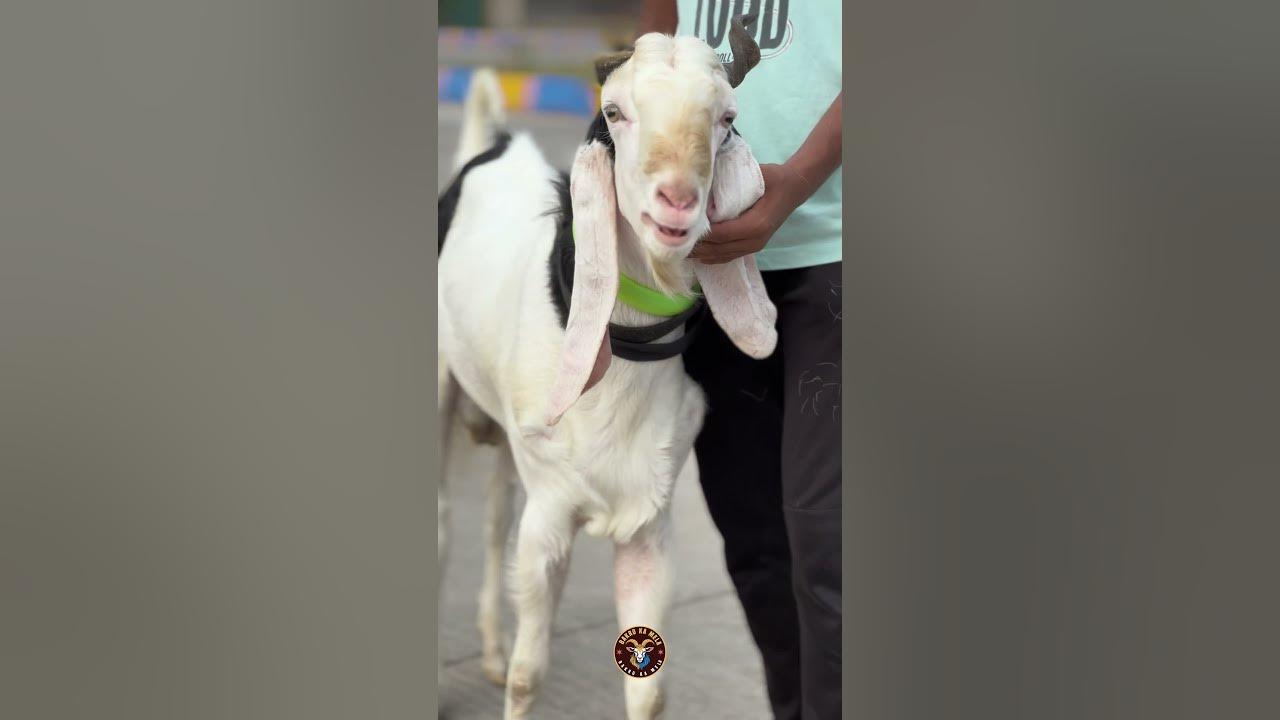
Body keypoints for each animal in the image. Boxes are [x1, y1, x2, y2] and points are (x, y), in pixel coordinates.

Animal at [438, 22, 776, 720]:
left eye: (726, 119)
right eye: (615, 113)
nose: (677, 201)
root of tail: (493, 147)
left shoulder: (651, 524)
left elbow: (648, 690)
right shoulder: (549, 512)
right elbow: (529, 674)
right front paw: (516, 674)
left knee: (492, 517)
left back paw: (488, 650)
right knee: (444, 521)